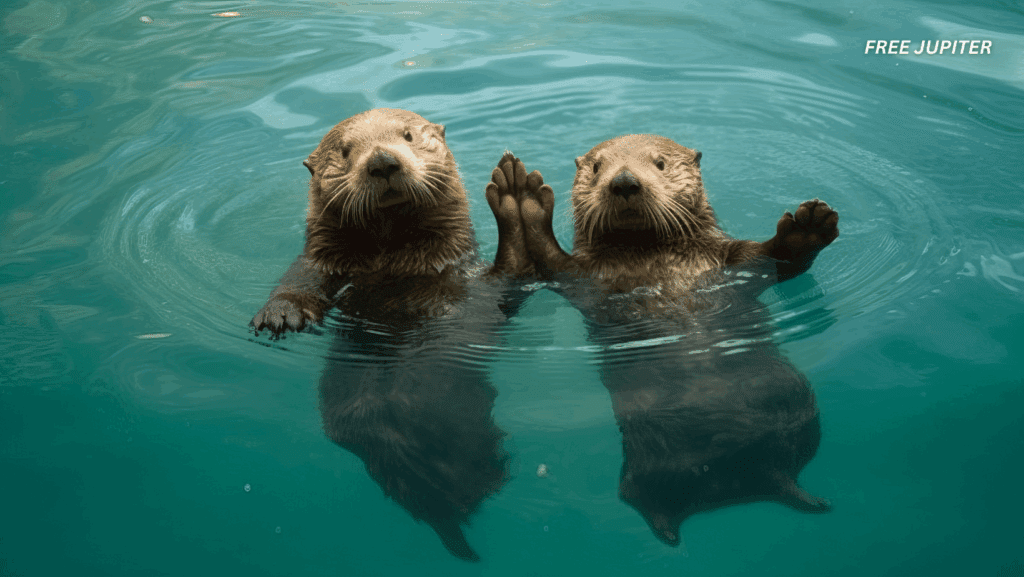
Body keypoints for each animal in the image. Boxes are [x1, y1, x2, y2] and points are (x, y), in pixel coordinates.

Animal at [250, 110, 531, 561]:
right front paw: (280, 314)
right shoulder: (321, 263)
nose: (382, 161)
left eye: (408, 136)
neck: (395, 262)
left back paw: (516, 199)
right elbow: (300, 280)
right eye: (346, 151)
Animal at [486, 138, 837, 546]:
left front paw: (808, 228)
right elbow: (553, 262)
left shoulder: (731, 262)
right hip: (645, 472)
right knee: (644, 496)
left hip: (802, 416)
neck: (653, 262)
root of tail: (742, 483)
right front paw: (526, 198)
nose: (624, 181)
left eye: (660, 163)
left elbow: (778, 261)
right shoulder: (587, 282)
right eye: (597, 168)